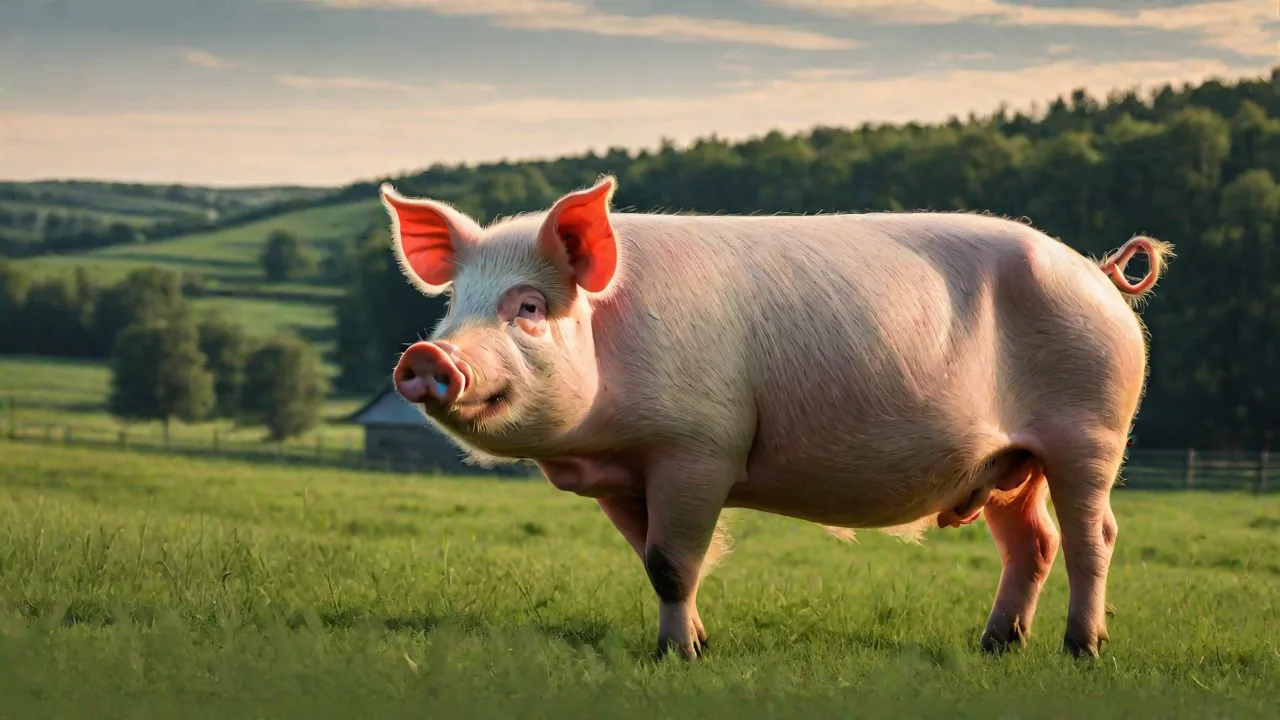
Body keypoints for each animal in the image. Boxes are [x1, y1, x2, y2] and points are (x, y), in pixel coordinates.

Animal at [378, 176, 1171, 661]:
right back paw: (996, 646)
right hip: (1011, 461)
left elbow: (674, 562)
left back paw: (1082, 650)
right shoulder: (622, 478)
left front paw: (678, 657)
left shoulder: (699, 447)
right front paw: (695, 645)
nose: (425, 352)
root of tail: (1098, 274)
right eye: (452, 303)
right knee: (1033, 543)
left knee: (1094, 536)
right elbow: (652, 560)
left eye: (529, 306)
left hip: (1091, 432)